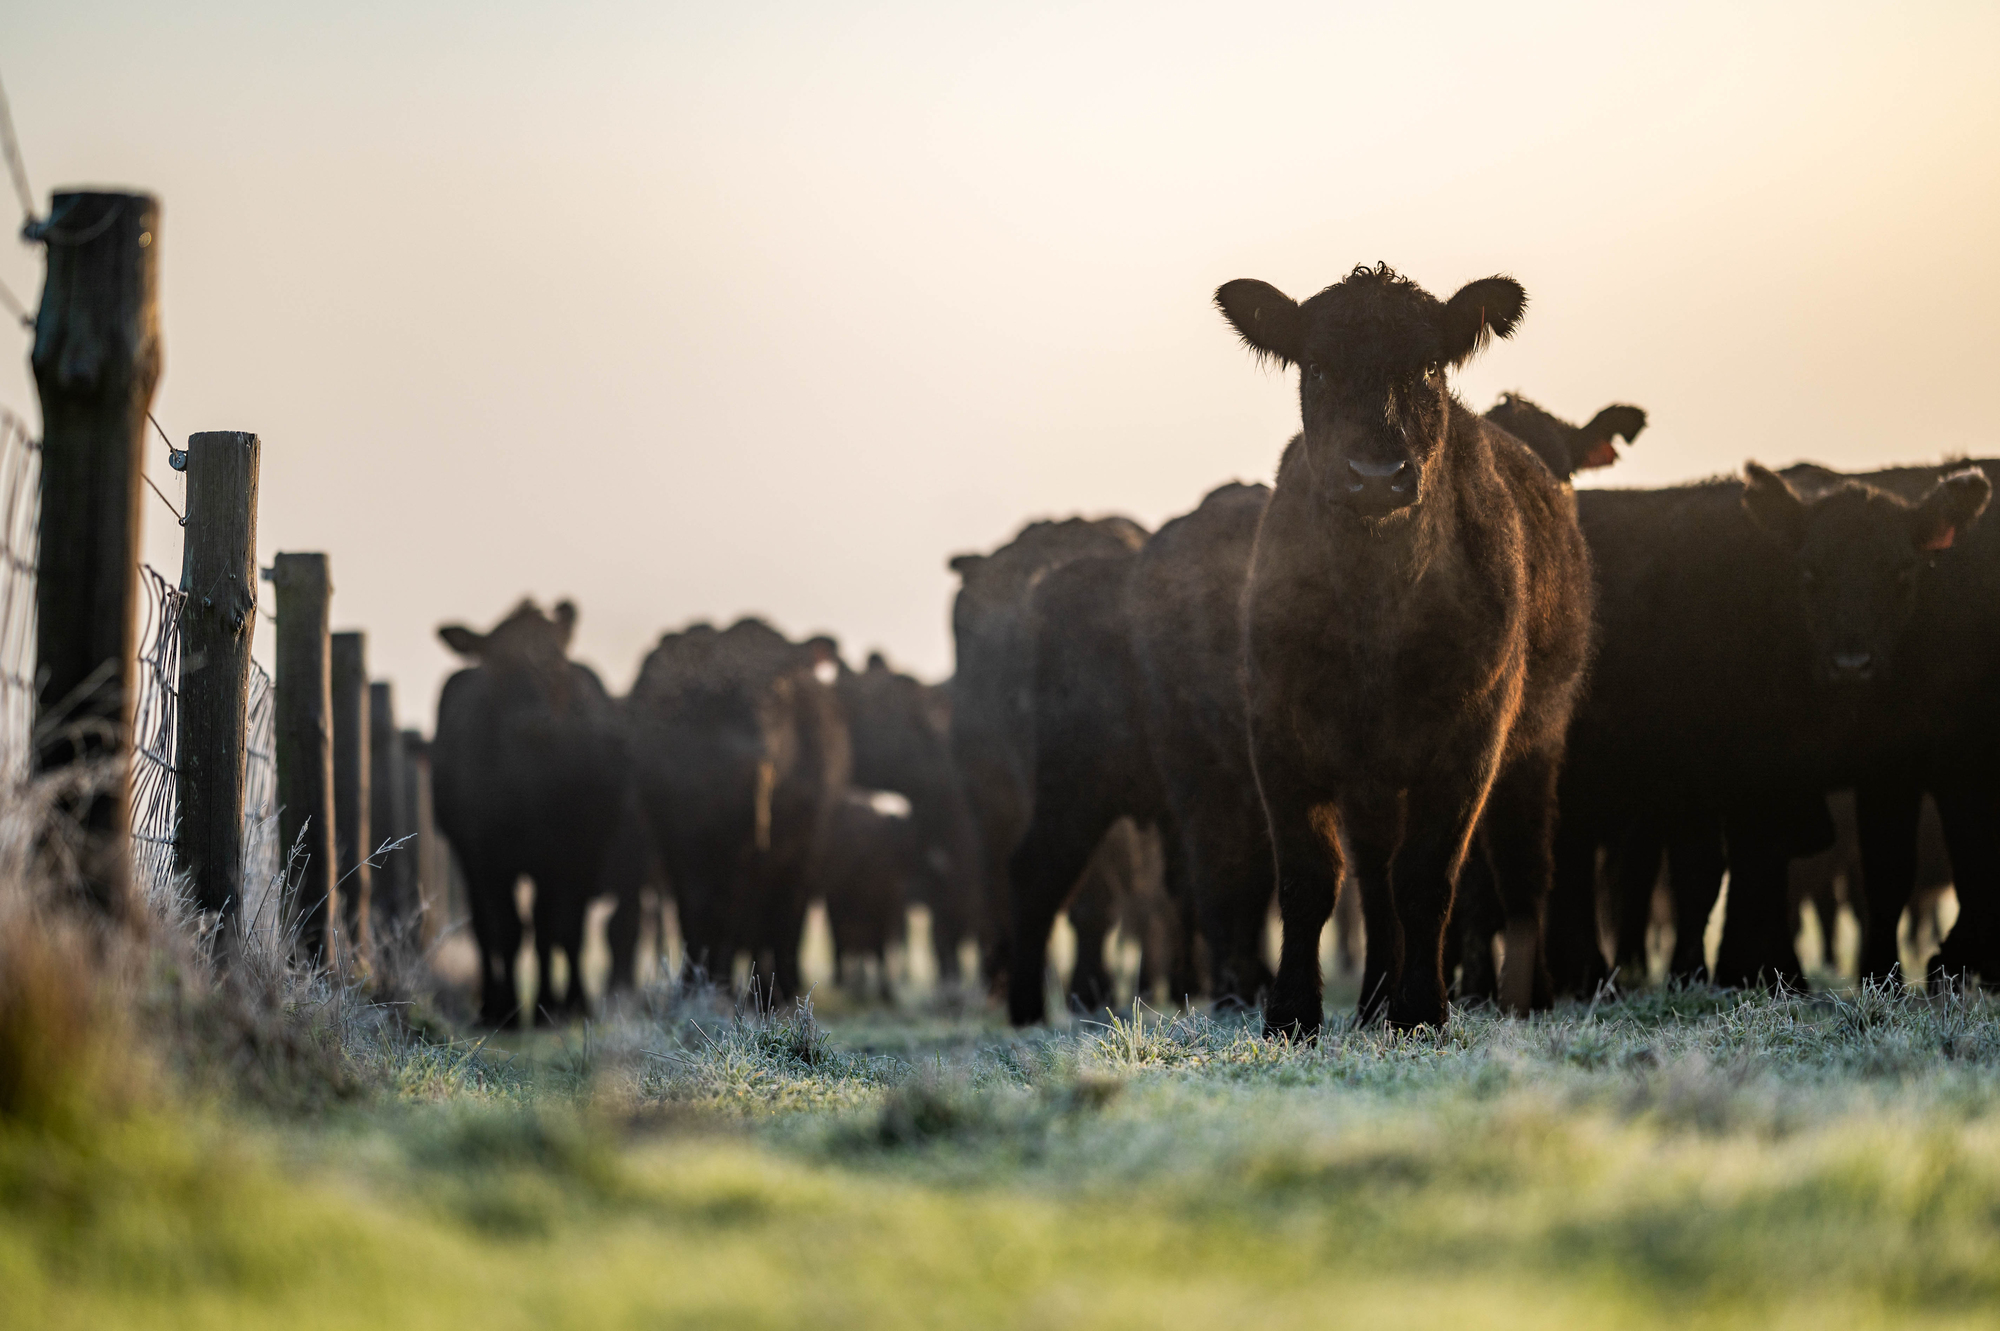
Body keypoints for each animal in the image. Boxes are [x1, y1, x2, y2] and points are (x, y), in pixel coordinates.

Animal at [431, 600, 629, 1027]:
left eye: (553, 660)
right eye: (499, 664)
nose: (533, 719)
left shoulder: (566, 853)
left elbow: (556, 927)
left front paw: (556, 1005)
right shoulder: (484, 855)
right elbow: (504, 929)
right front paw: (504, 1010)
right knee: (484, 927)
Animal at [1214, 263, 1595, 1036]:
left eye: (1428, 366)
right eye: (1318, 367)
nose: (1374, 474)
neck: (1374, 607)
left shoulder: (1470, 737)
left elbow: (1427, 876)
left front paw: (1422, 1010)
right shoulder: (1278, 730)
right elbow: (1310, 877)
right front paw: (1292, 1014)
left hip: (1536, 744)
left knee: (1523, 870)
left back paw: (1527, 999)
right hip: (1372, 778)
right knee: (1372, 875)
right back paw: (1369, 1002)